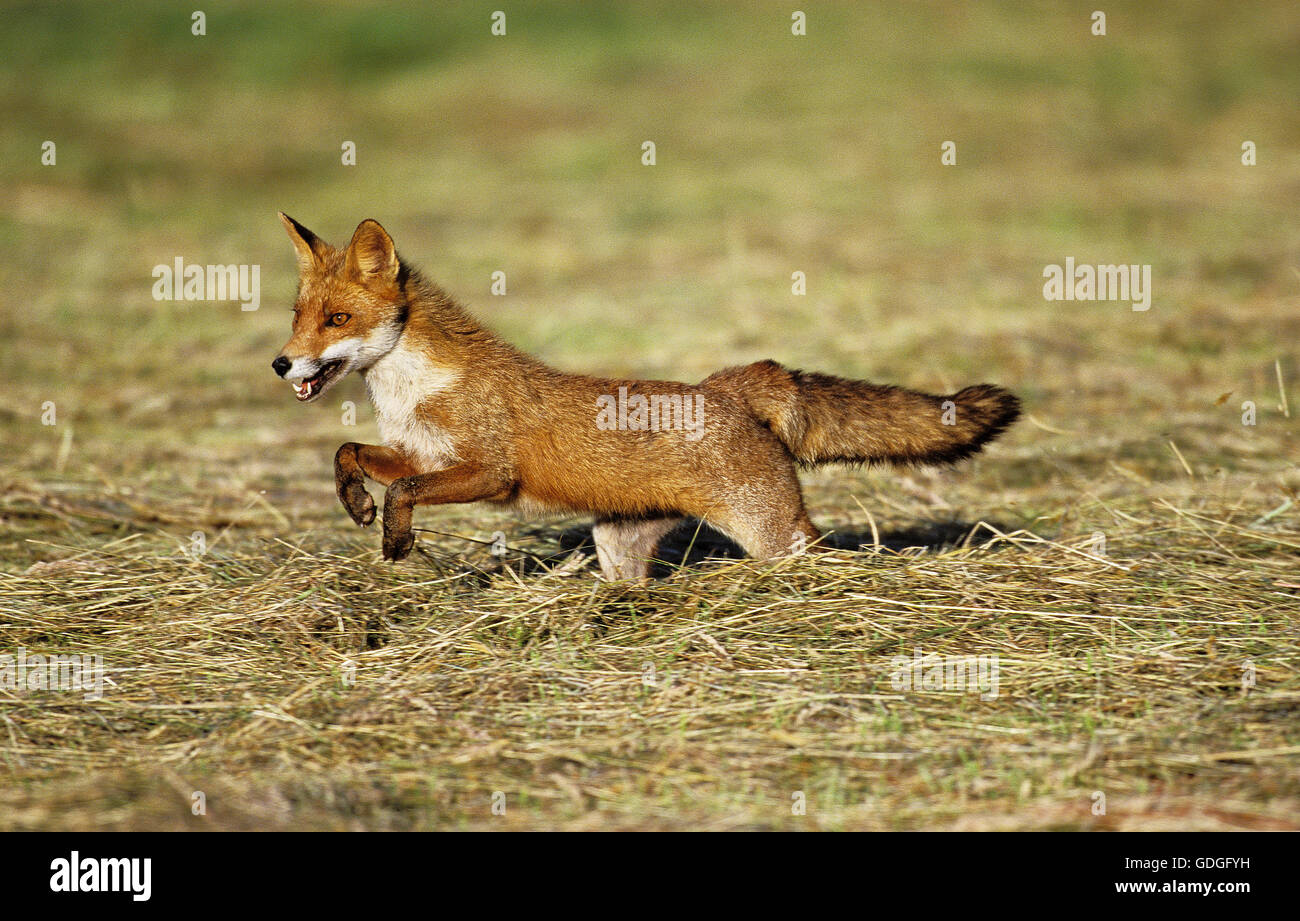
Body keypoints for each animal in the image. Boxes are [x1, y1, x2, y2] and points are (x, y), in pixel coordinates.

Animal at [272, 214, 1021, 579]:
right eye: (297, 316)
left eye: (337, 319)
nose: (282, 364)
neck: (413, 392)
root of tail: (729, 384)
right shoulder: (416, 451)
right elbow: (348, 452)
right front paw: (356, 504)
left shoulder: (489, 471)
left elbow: (404, 491)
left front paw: (395, 536)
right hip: (617, 545)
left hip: (774, 536)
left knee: (827, 553)